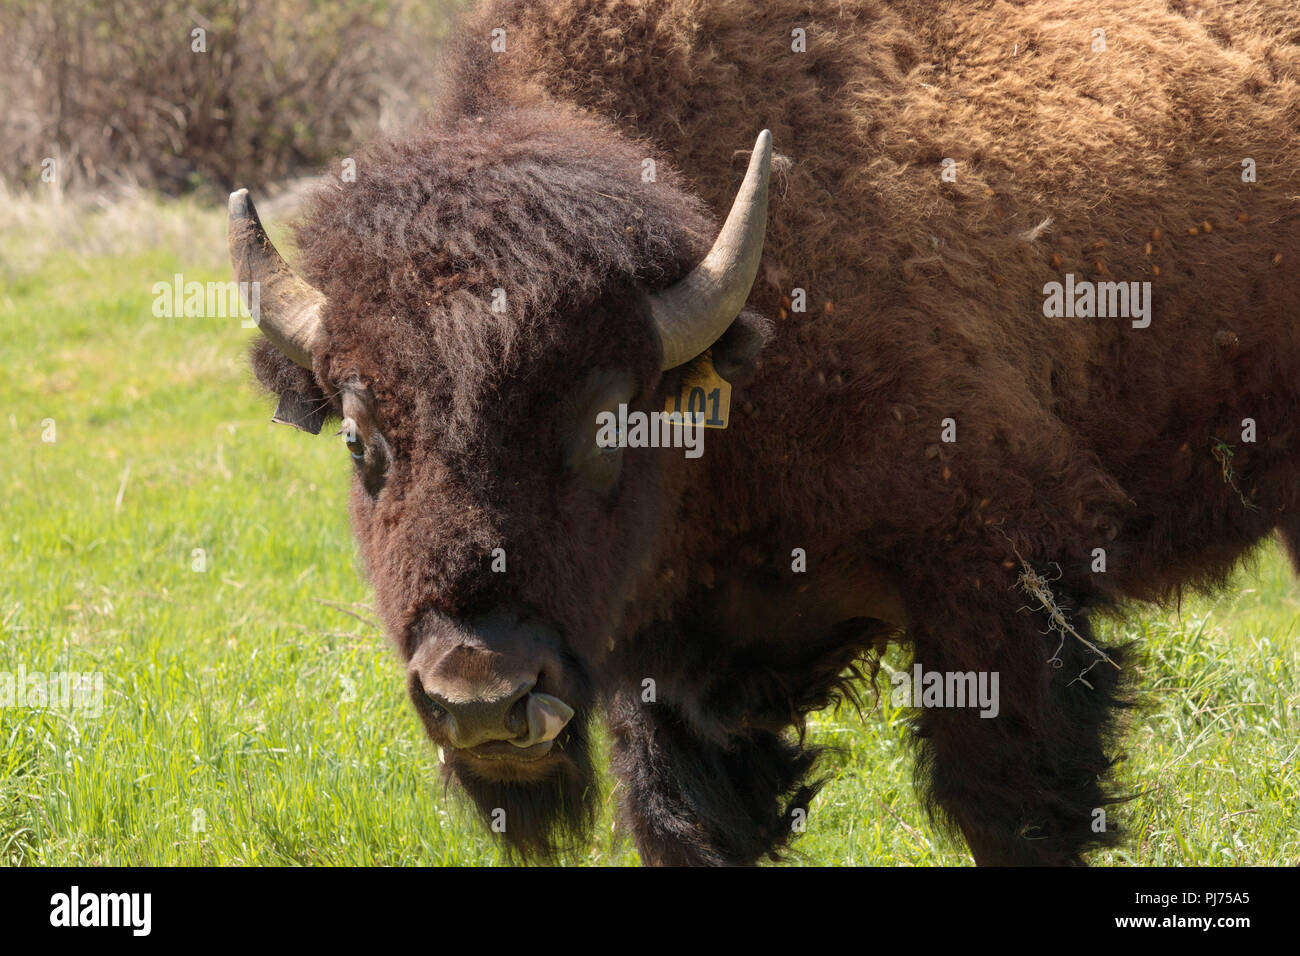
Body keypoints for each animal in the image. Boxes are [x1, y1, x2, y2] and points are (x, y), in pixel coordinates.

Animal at [229, 0, 1300, 864]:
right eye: (361, 440)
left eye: (607, 422)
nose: (480, 696)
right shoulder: (665, 676)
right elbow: (686, 822)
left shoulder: (996, 585)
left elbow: (1016, 809)